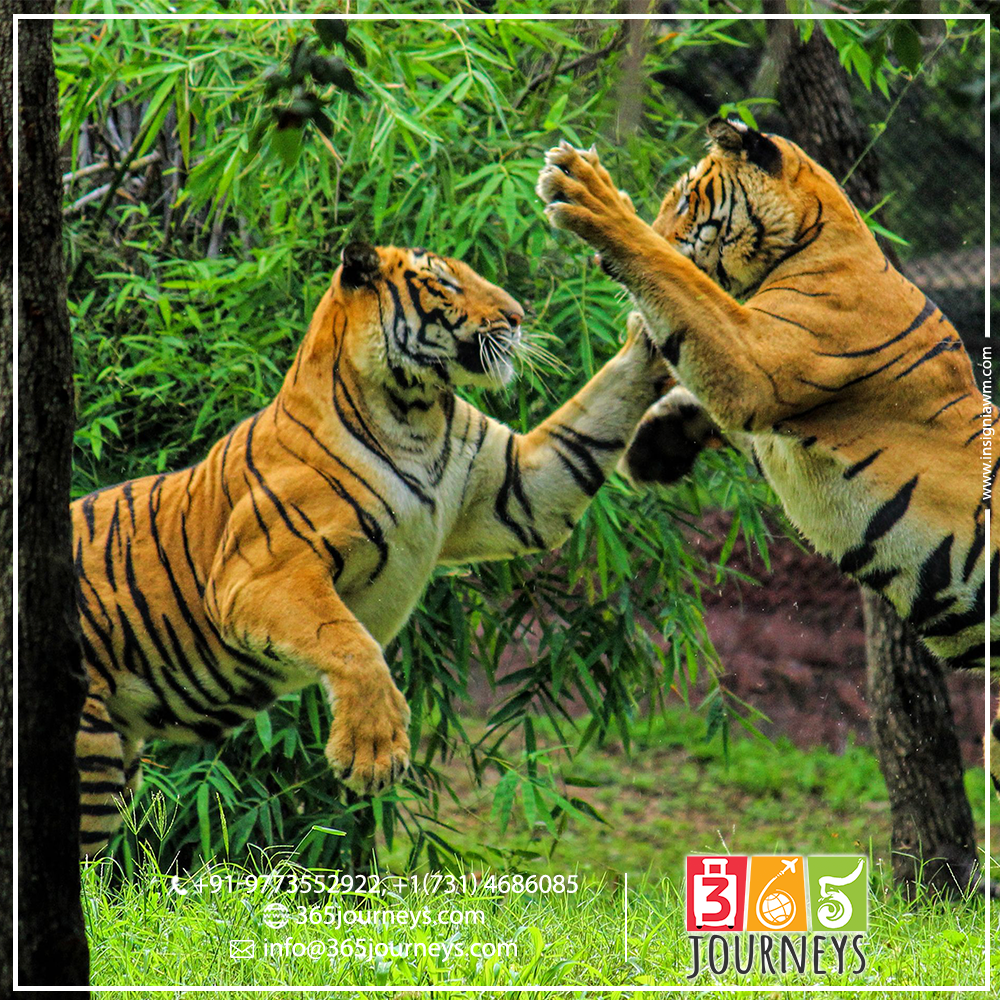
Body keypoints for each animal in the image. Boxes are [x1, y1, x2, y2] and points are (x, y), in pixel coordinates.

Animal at [72, 241, 667, 856]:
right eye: (447, 284)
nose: (519, 316)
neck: (415, 413)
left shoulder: (518, 488)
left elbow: (592, 422)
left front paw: (652, 327)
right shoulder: (262, 573)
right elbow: (347, 640)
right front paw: (372, 754)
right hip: (90, 758)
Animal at [534, 119, 997, 785]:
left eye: (684, 200)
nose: (598, 262)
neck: (815, 238)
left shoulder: (758, 361)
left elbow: (680, 283)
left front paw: (590, 195)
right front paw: (653, 447)